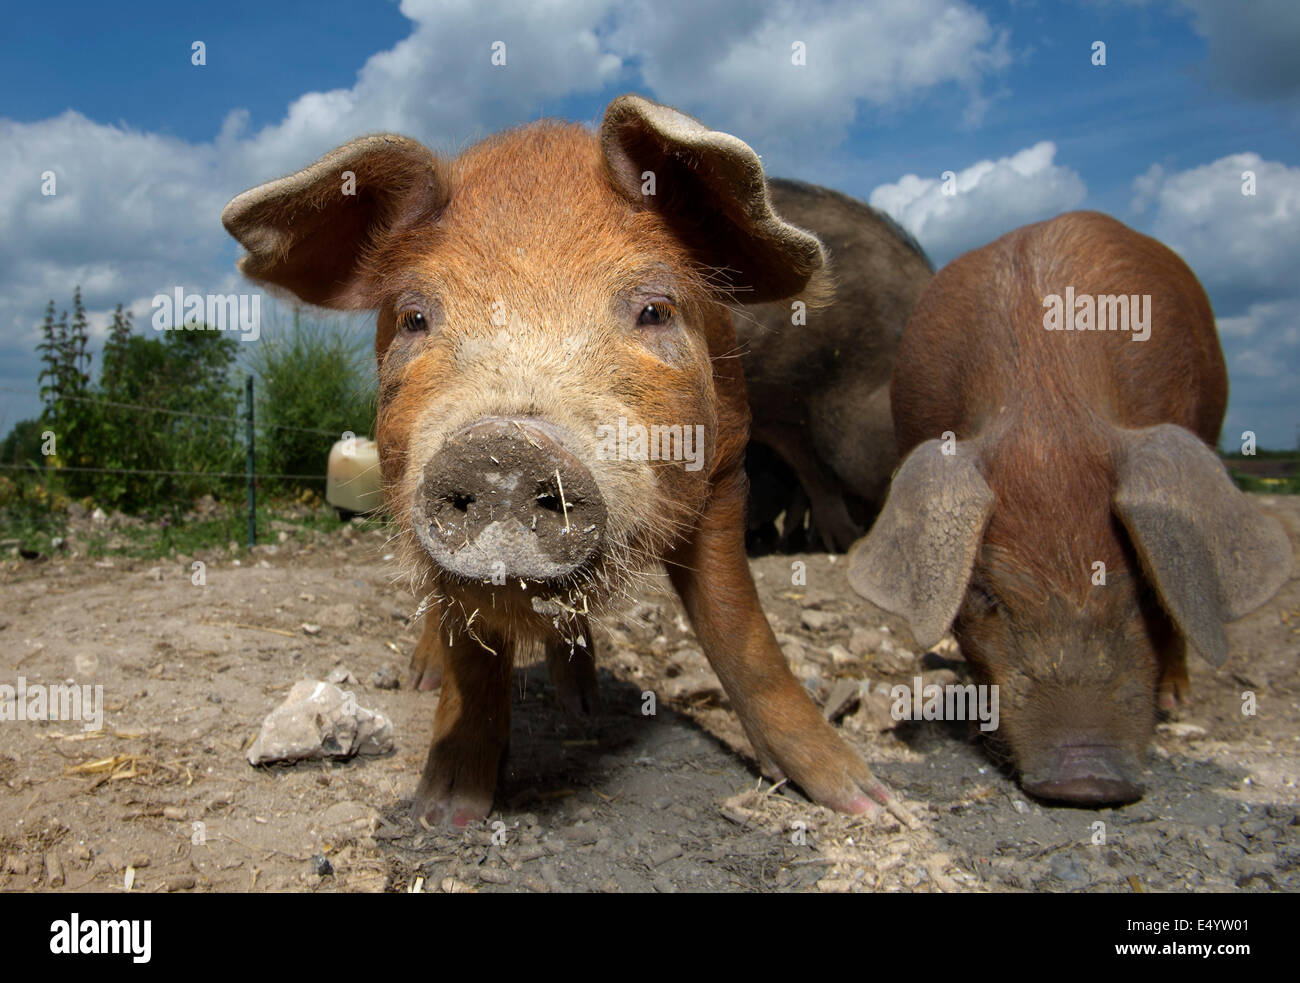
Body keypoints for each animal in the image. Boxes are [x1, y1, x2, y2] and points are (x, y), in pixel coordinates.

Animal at [223, 95, 910, 827]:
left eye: (655, 309)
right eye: (413, 318)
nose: (503, 446)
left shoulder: (728, 468)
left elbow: (740, 628)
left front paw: (869, 801)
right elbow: (472, 651)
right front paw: (445, 810)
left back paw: (584, 704)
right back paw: (423, 679)